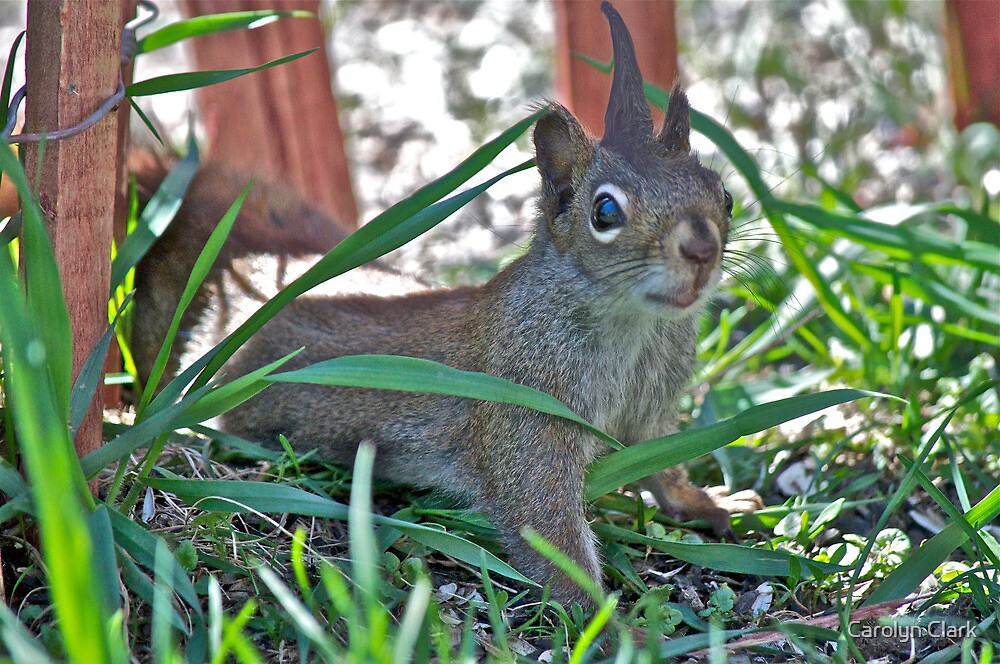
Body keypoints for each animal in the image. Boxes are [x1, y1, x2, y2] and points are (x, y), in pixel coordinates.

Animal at [133, 2, 761, 608]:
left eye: (724, 194)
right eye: (605, 212)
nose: (702, 249)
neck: (635, 329)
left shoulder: (650, 411)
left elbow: (665, 467)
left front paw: (705, 502)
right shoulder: (525, 416)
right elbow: (546, 528)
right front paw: (608, 623)